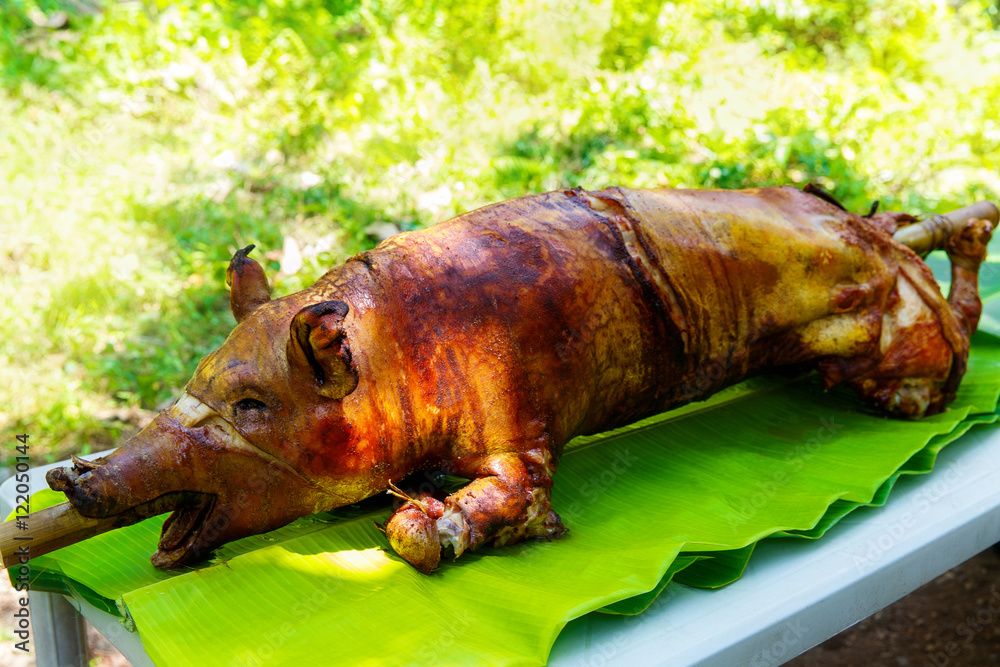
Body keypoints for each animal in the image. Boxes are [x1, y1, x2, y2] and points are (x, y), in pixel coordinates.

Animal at [47, 186, 994, 573]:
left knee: (947, 337)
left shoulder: (521, 415)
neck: (400, 349)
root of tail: (883, 231)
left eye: (252, 405)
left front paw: (423, 523)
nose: (76, 477)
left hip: (906, 351)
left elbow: (513, 498)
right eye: (196, 380)